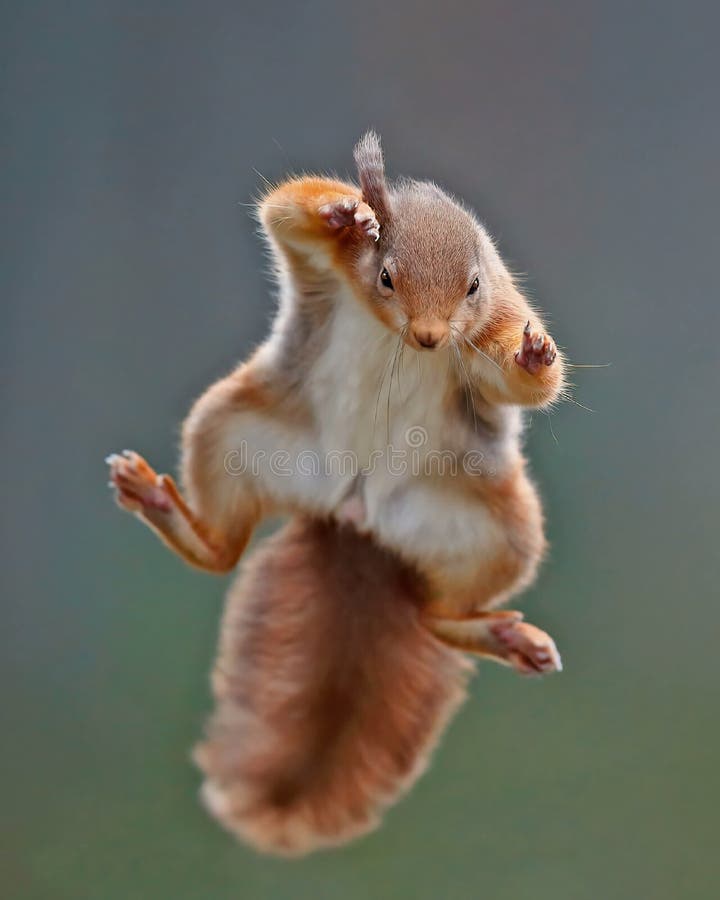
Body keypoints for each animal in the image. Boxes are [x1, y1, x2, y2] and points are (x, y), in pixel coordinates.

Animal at [107, 132, 565, 856]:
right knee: (223, 551)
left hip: (500, 531)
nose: (429, 337)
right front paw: (346, 214)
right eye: (386, 277)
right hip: (231, 432)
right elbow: (285, 211)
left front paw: (534, 356)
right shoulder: (321, 264)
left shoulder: (495, 321)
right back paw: (157, 501)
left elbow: (530, 384)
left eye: (473, 284)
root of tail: (355, 518)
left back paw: (498, 632)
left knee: (434, 614)